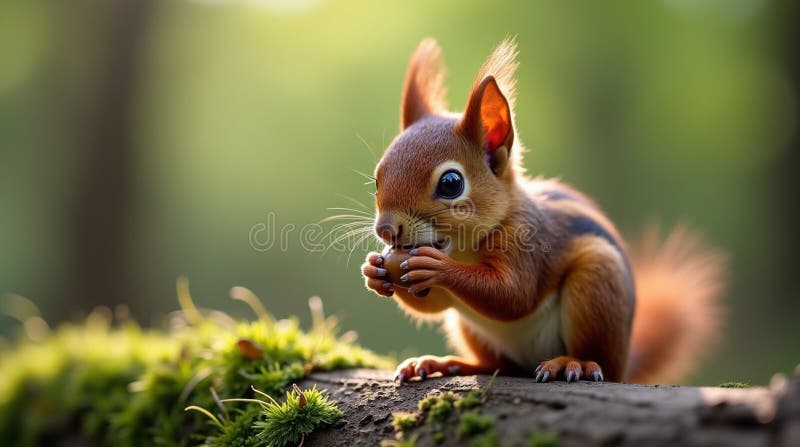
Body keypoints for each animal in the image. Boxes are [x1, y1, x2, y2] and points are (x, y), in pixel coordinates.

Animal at [361, 38, 726, 384]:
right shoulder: (443, 297)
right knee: (499, 366)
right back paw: (446, 363)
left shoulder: (530, 244)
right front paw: (374, 270)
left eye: (451, 183)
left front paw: (439, 268)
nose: (386, 230)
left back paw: (574, 363)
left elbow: (512, 295)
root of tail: (627, 359)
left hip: (597, 283)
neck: (464, 250)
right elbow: (432, 307)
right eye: (377, 178)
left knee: (602, 364)